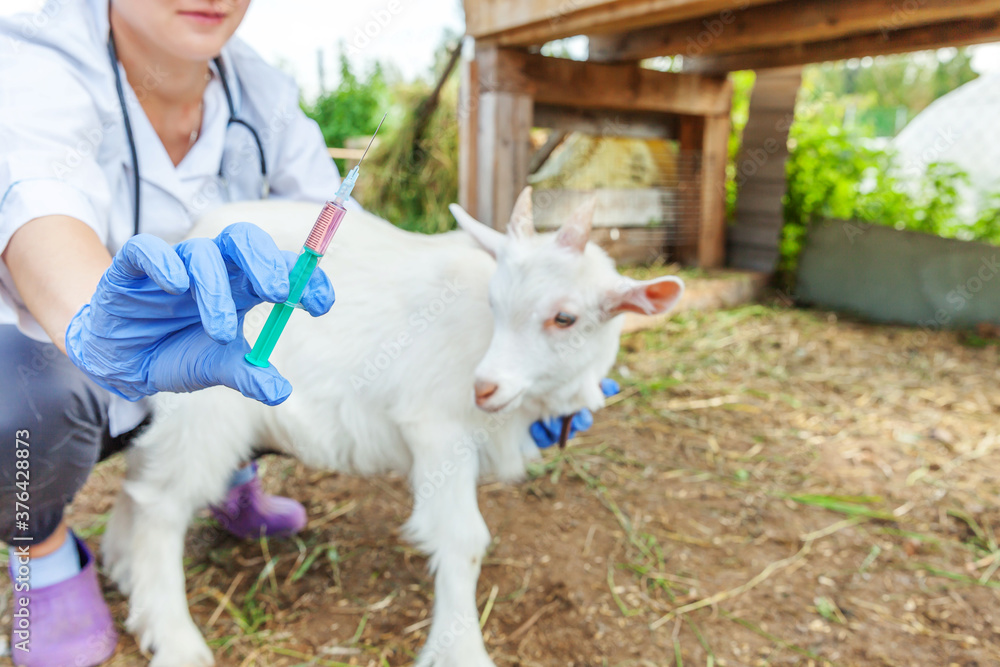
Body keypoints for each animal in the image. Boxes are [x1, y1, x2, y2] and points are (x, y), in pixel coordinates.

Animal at [102, 187, 684, 667]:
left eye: (565, 318)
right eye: (496, 304)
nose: (484, 388)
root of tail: (184, 242)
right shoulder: (437, 427)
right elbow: (464, 539)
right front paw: (462, 653)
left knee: (138, 476)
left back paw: (125, 570)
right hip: (206, 408)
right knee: (161, 503)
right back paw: (174, 637)